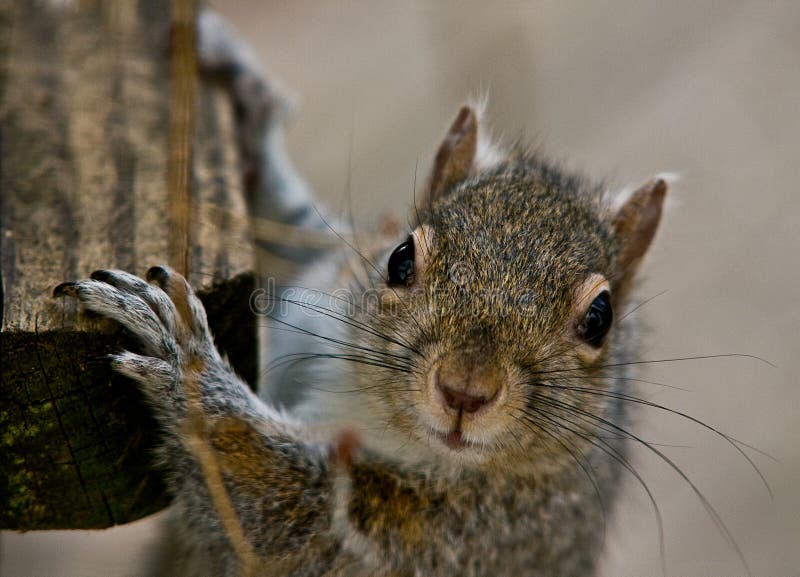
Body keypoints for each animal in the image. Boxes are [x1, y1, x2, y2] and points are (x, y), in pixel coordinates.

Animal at [53, 11, 671, 577]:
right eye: (399, 259)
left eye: (600, 318)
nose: (465, 391)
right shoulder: (323, 281)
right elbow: (290, 236)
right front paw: (242, 94)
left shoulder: (467, 536)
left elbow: (282, 517)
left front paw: (186, 363)